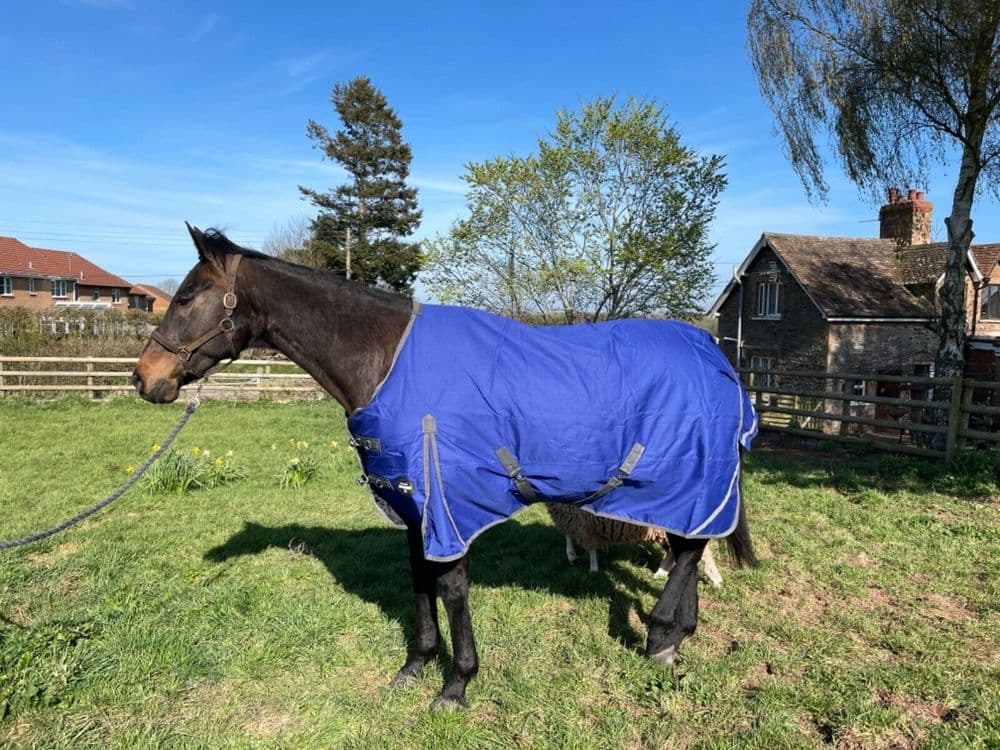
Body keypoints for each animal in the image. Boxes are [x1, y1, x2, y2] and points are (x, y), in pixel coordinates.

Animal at [132, 225, 759, 710]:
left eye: (186, 297)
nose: (144, 379)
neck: (387, 361)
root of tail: (718, 361)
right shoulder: (413, 507)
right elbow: (419, 581)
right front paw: (414, 668)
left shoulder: (448, 508)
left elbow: (453, 588)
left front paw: (456, 685)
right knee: (690, 548)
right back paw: (678, 637)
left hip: (686, 482)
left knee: (687, 553)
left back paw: (661, 638)